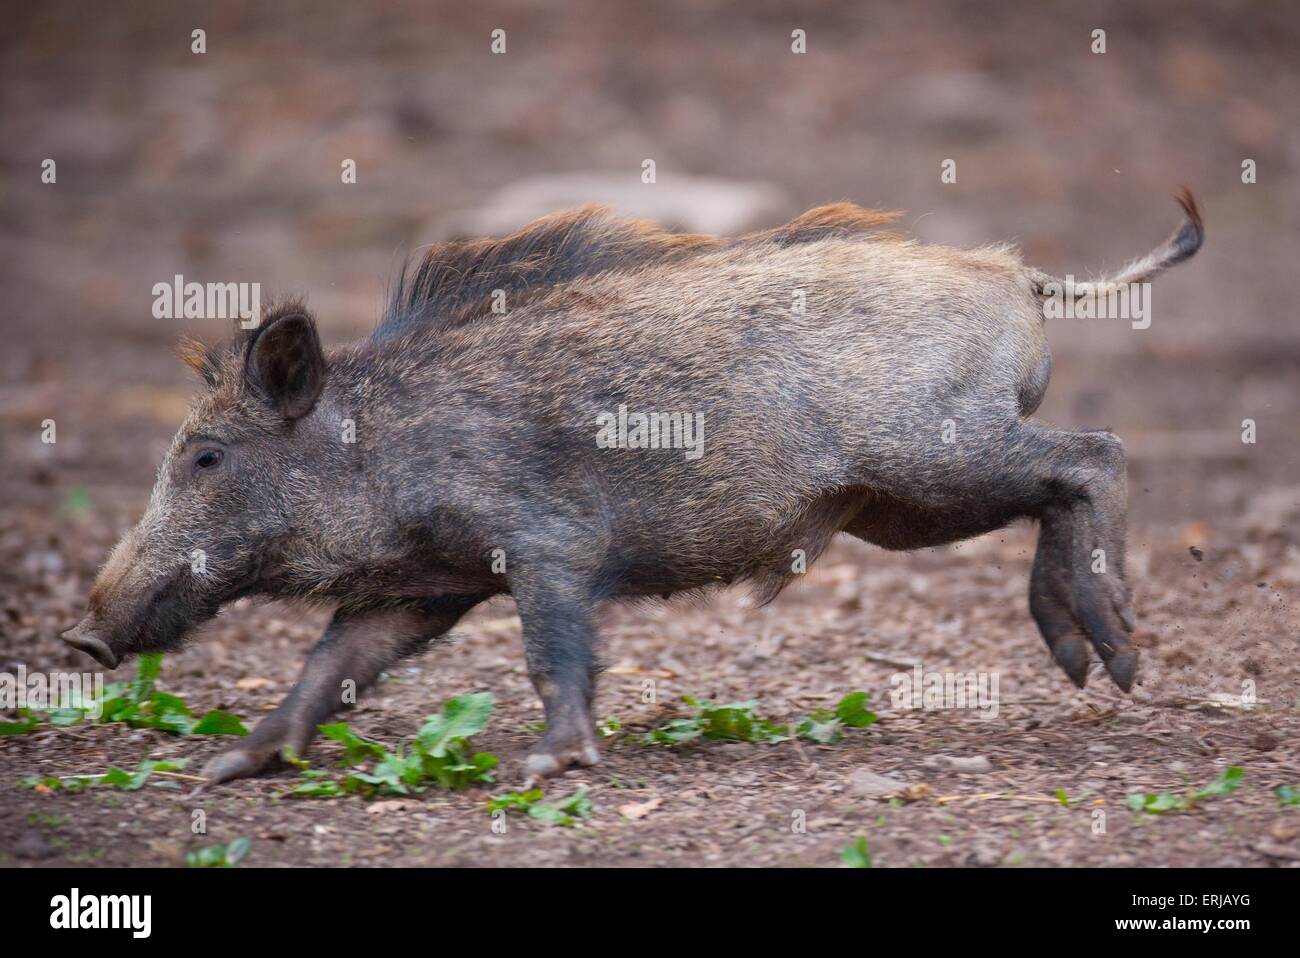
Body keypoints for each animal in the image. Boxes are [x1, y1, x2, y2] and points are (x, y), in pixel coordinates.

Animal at [62, 191, 1203, 783]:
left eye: (207, 457)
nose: (80, 636)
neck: (382, 448)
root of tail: (1015, 275)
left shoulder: (544, 545)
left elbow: (550, 649)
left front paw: (547, 768)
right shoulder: (424, 585)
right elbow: (331, 663)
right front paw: (227, 771)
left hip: (932, 453)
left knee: (1095, 451)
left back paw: (1120, 659)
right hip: (905, 509)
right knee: (1061, 483)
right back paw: (1087, 664)